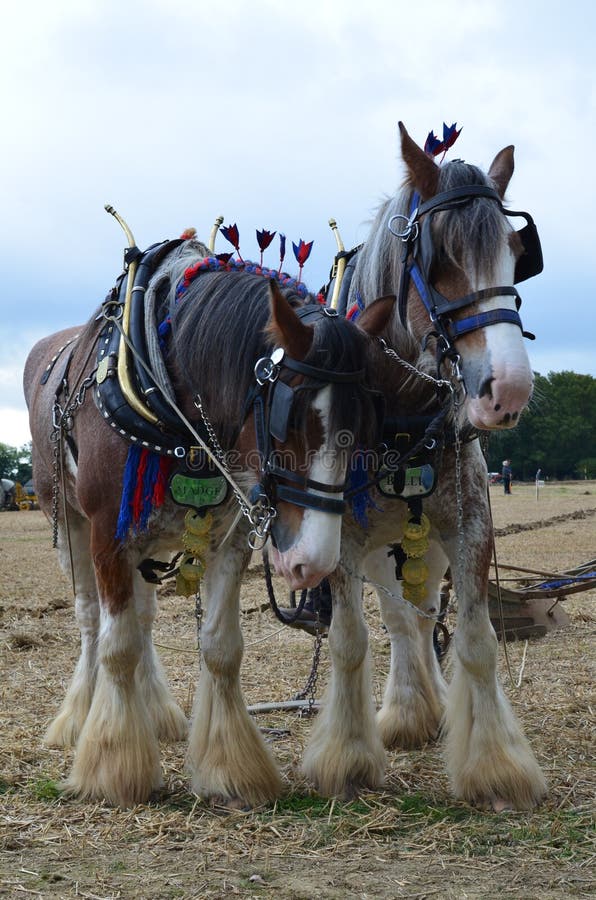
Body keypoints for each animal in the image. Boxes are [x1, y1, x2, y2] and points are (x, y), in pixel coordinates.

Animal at [23, 237, 394, 807]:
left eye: (366, 424)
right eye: (288, 419)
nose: (313, 563)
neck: (165, 386)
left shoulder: (231, 536)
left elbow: (220, 648)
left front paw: (230, 769)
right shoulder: (108, 532)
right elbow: (116, 645)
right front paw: (113, 764)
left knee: (143, 619)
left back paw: (155, 713)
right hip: (68, 522)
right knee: (91, 621)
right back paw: (80, 716)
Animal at [300, 122, 548, 810]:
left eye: (518, 255)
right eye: (439, 260)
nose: (508, 389)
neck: (403, 413)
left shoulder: (468, 528)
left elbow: (475, 638)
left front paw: (495, 766)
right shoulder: (342, 538)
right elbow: (352, 640)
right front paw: (348, 758)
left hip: (421, 543)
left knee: (421, 616)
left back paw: (427, 708)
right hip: (382, 547)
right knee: (397, 620)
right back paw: (409, 713)